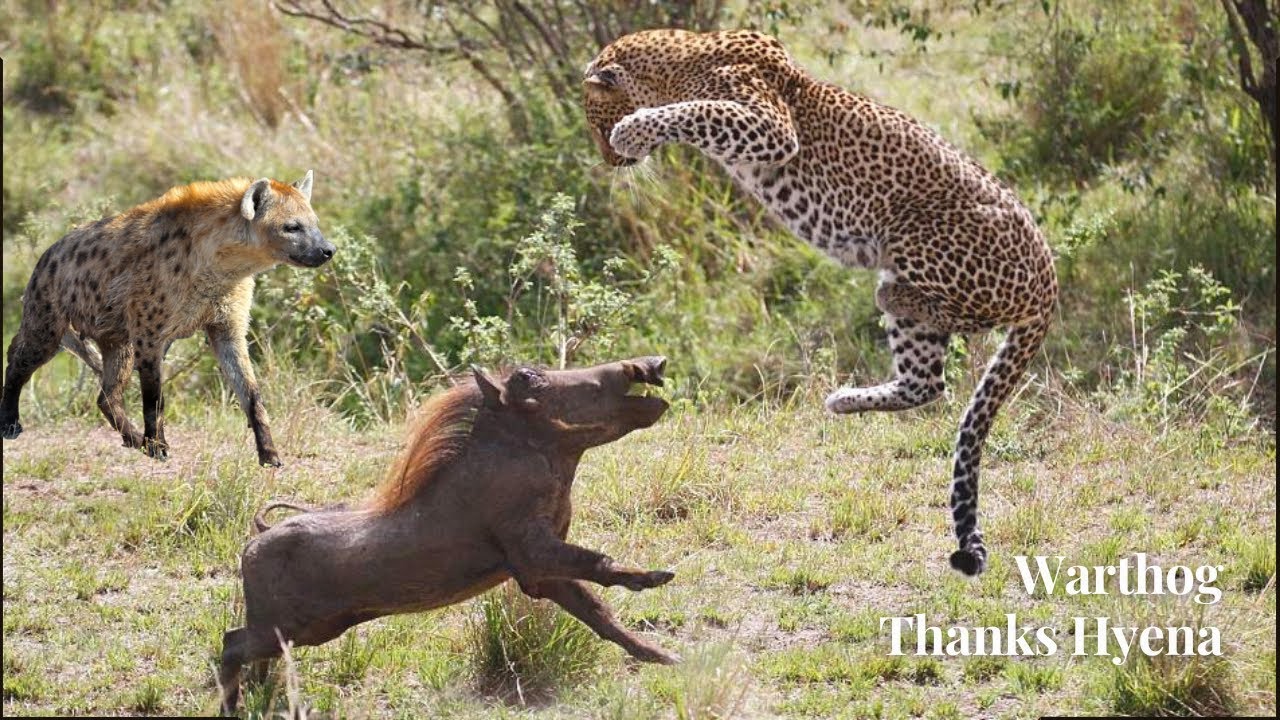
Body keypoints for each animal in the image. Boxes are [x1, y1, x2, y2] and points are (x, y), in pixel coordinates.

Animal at [582, 29, 1058, 576]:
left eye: (598, 123)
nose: (609, 160)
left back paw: (891, 293)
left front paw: (634, 129)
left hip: (917, 235)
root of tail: (1051, 274)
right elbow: (692, 110)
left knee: (964, 314)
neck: (679, 62)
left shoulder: (768, 124)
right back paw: (845, 397)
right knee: (927, 383)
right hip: (920, 328)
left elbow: (695, 110)